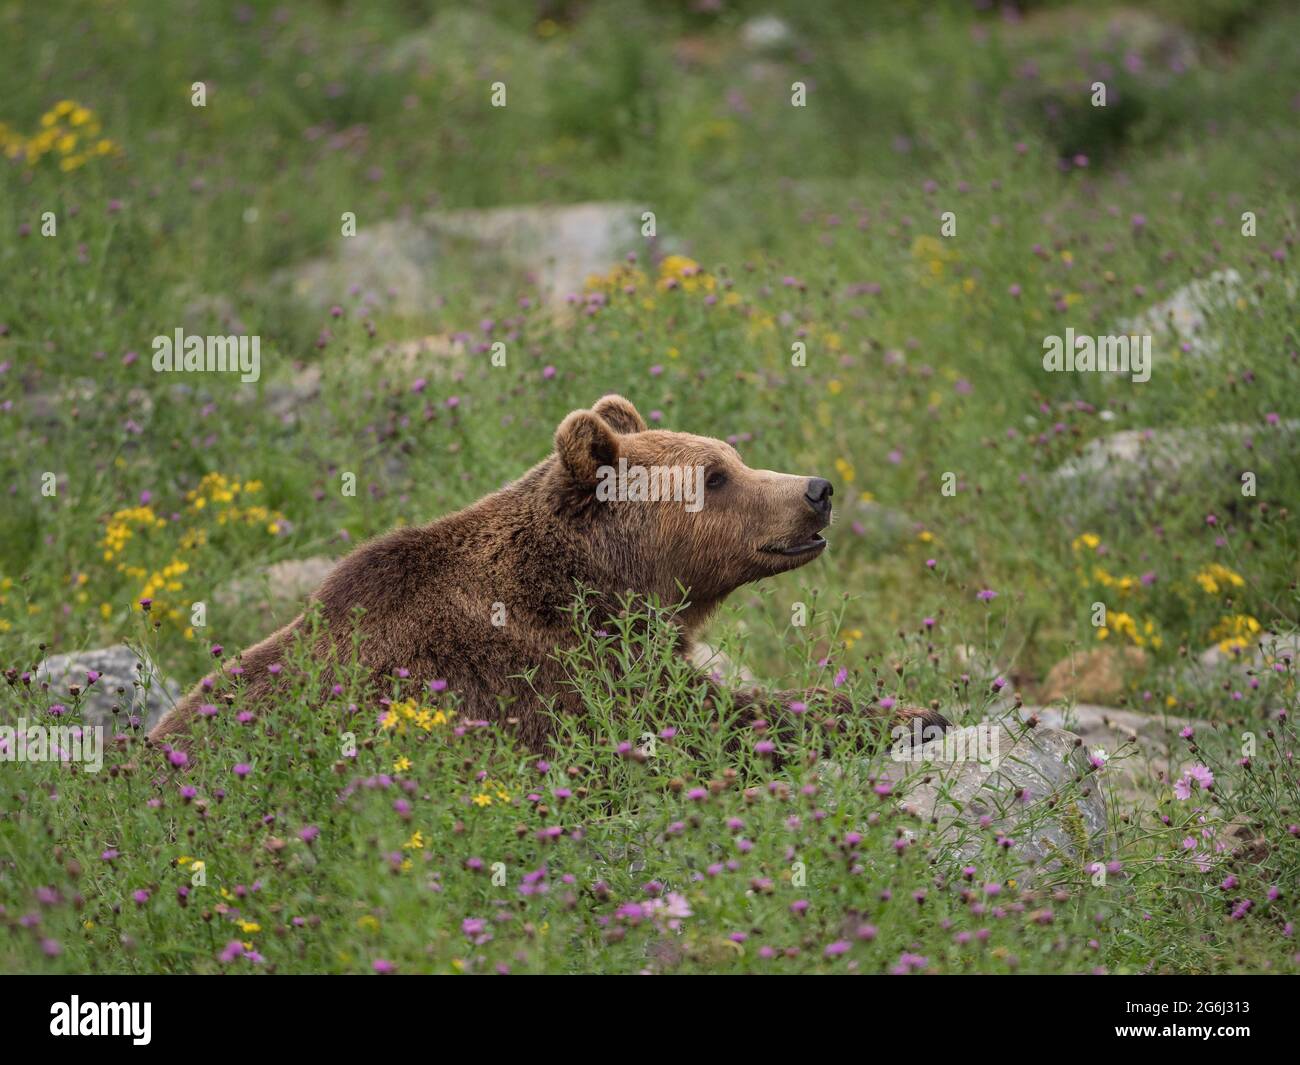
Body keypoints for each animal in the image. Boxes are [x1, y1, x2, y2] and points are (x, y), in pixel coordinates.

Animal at [148, 395, 945, 754]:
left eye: (733, 456)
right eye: (716, 477)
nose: (816, 489)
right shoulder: (533, 670)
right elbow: (702, 718)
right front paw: (908, 713)